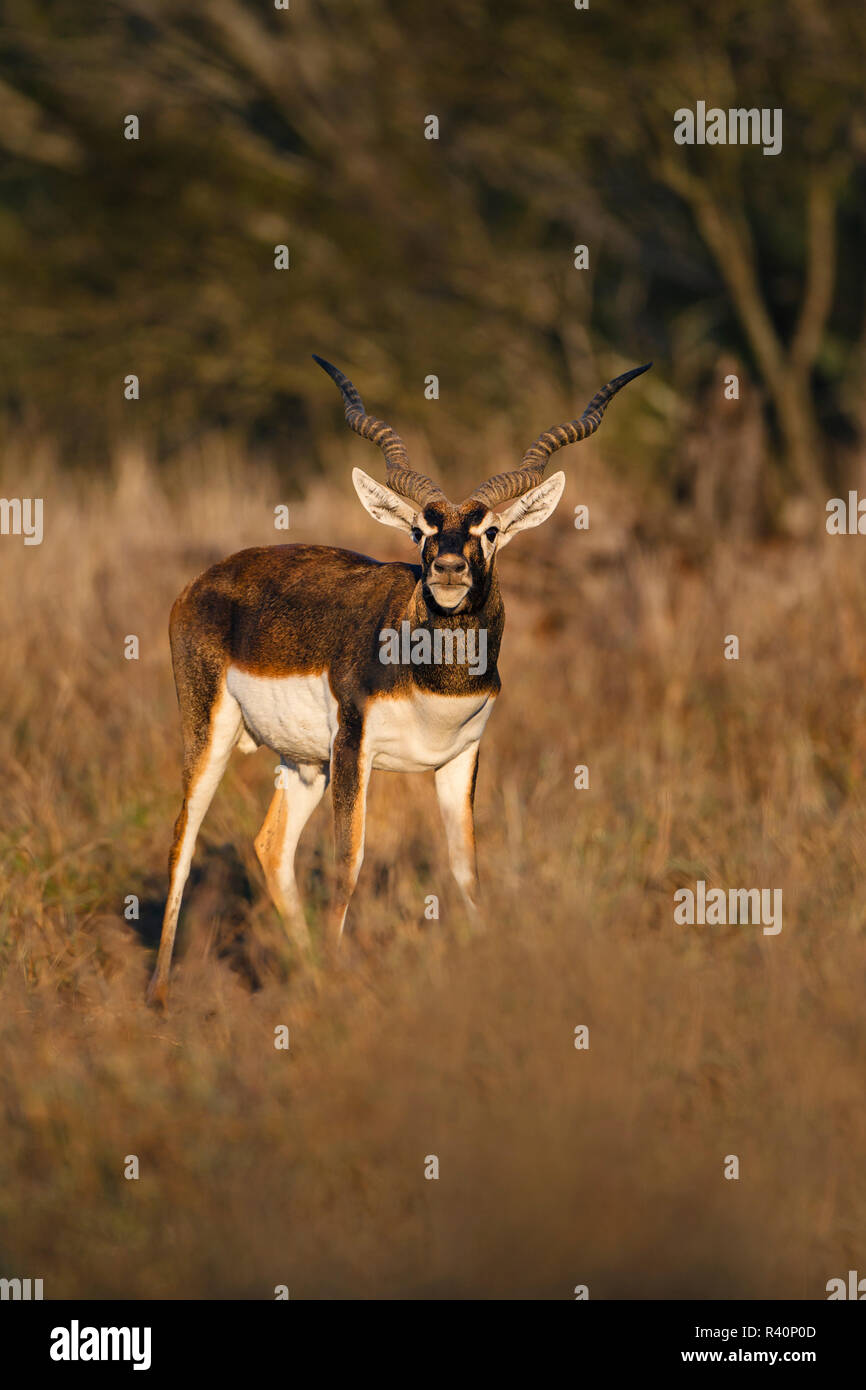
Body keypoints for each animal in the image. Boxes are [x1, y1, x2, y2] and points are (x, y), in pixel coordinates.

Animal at [147, 355, 650, 1004]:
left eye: (489, 531)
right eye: (419, 531)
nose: (448, 570)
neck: (435, 678)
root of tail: (202, 580)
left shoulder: (460, 758)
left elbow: (466, 871)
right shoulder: (353, 748)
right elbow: (349, 864)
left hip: (304, 762)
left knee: (270, 845)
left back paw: (308, 978)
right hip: (211, 733)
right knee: (182, 841)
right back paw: (161, 994)